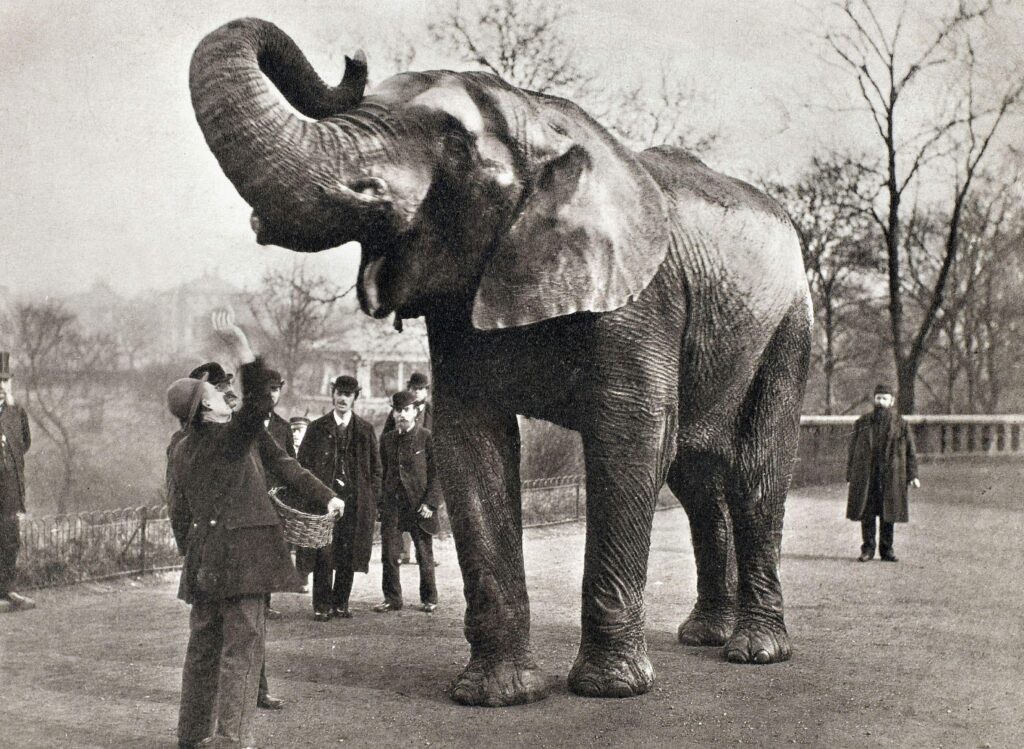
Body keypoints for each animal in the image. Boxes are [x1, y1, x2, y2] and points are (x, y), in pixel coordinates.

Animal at [189, 18, 812, 707]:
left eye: (455, 145)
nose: (352, 60)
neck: (543, 120)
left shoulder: (641, 300)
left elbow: (631, 437)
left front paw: (609, 691)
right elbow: (470, 440)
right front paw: (495, 695)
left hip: (788, 326)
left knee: (754, 472)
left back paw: (754, 651)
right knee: (696, 477)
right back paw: (704, 635)